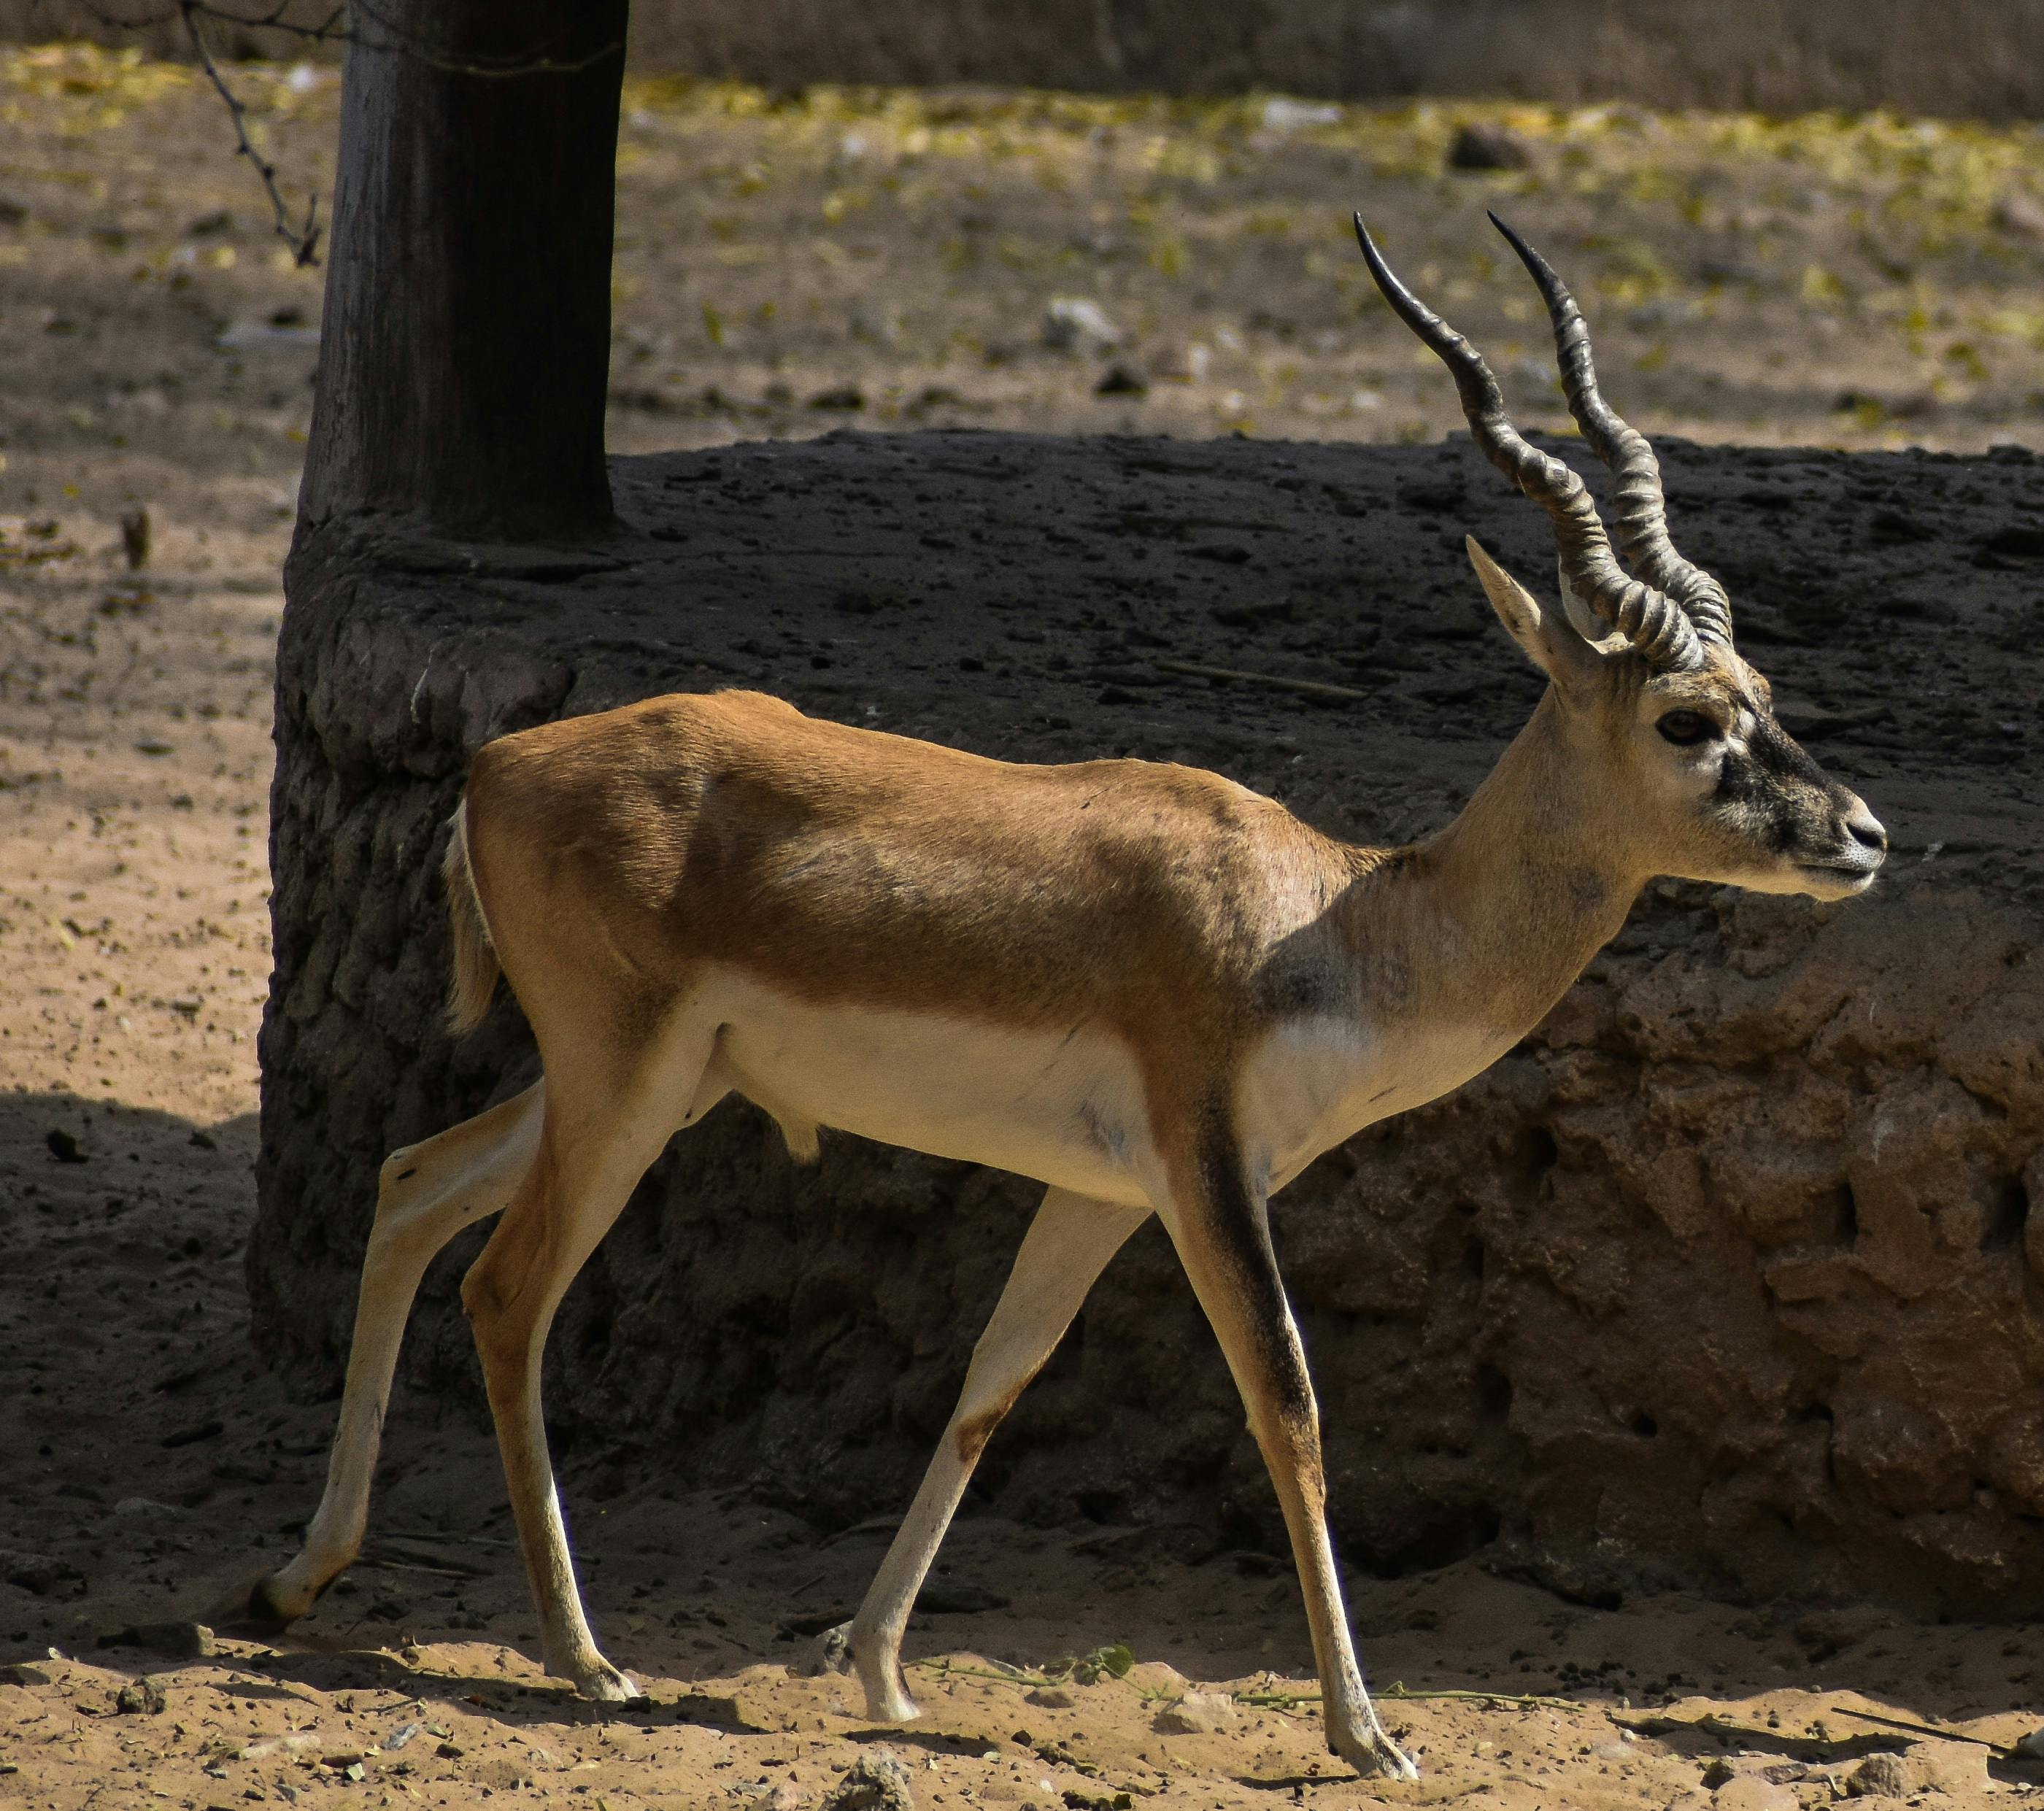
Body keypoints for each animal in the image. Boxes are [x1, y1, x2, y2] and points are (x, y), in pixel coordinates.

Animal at [241, 214, 1886, 1780]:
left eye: (1767, 696)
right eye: (1686, 720)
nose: (1862, 834)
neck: (1331, 915)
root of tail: (492, 764)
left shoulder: (1103, 1187)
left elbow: (992, 1378)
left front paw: (879, 1669)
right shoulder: (1206, 1163)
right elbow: (1288, 1397)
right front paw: (1365, 1730)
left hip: (650, 1081)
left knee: (408, 1178)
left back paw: (301, 1577)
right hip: (626, 1086)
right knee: (506, 1288)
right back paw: (586, 1659)